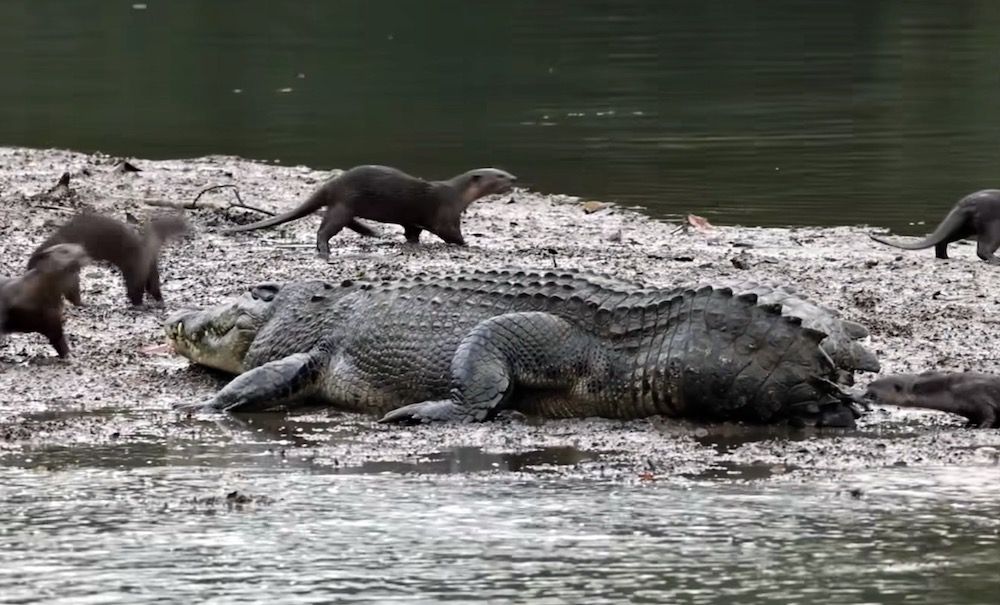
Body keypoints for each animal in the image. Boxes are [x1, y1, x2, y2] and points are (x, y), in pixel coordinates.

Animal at [28, 212, 189, 307]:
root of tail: (143, 245)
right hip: (147, 268)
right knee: (153, 285)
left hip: (135, 268)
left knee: (137, 288)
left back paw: (139, 304)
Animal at [223, 165, 518, 258]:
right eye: (500, 176)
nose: (514, 178)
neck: (457, 195)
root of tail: (331, 184)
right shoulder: (446, 214)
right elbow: (450, 233)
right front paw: (469, 244)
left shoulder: (414, 221)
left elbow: (412, 231)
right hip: (345, 203)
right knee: (325, 228)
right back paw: (325, 249)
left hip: (342, 205)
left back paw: (371, 232)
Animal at [863, 371, 999, 428]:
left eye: (872, 385)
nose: (864, 394)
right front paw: (968, 424)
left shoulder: (977, 396)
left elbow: (988, 415)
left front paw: (982, 426)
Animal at [870, 189, 1000, 264]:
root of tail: (966, 203)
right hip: (992, 225)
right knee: (982, 249)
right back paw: (997, 261)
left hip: (965, 227)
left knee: (942, 242)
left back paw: (945, 258)